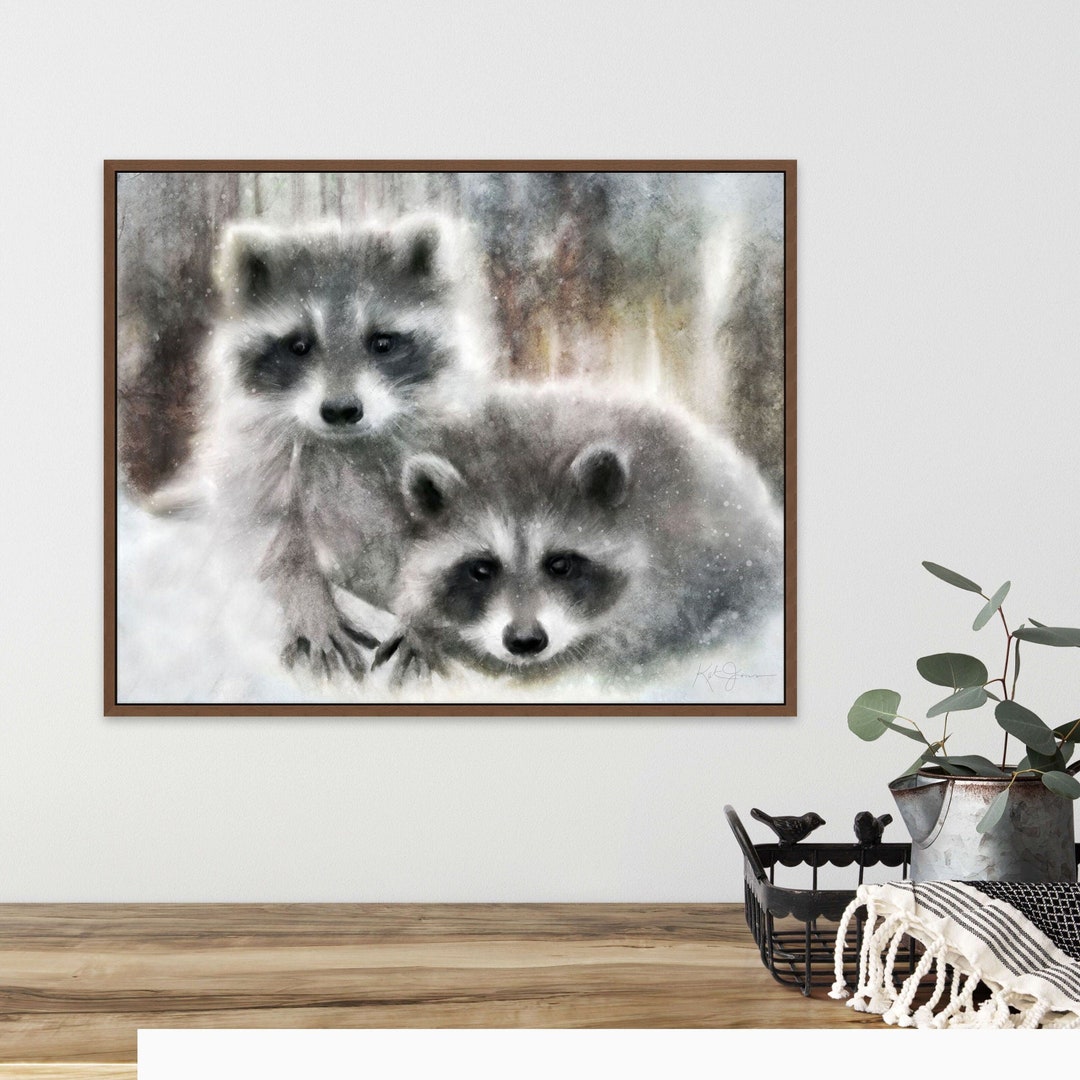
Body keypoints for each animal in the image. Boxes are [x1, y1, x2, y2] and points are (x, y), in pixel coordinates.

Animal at [159, 215, 493, 680]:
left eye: (382, 343)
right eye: (299, 346)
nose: (341, 411)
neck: (347, 446)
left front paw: (422, 624)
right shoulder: (262, 467)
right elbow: (276, 541)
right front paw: (308, 602)